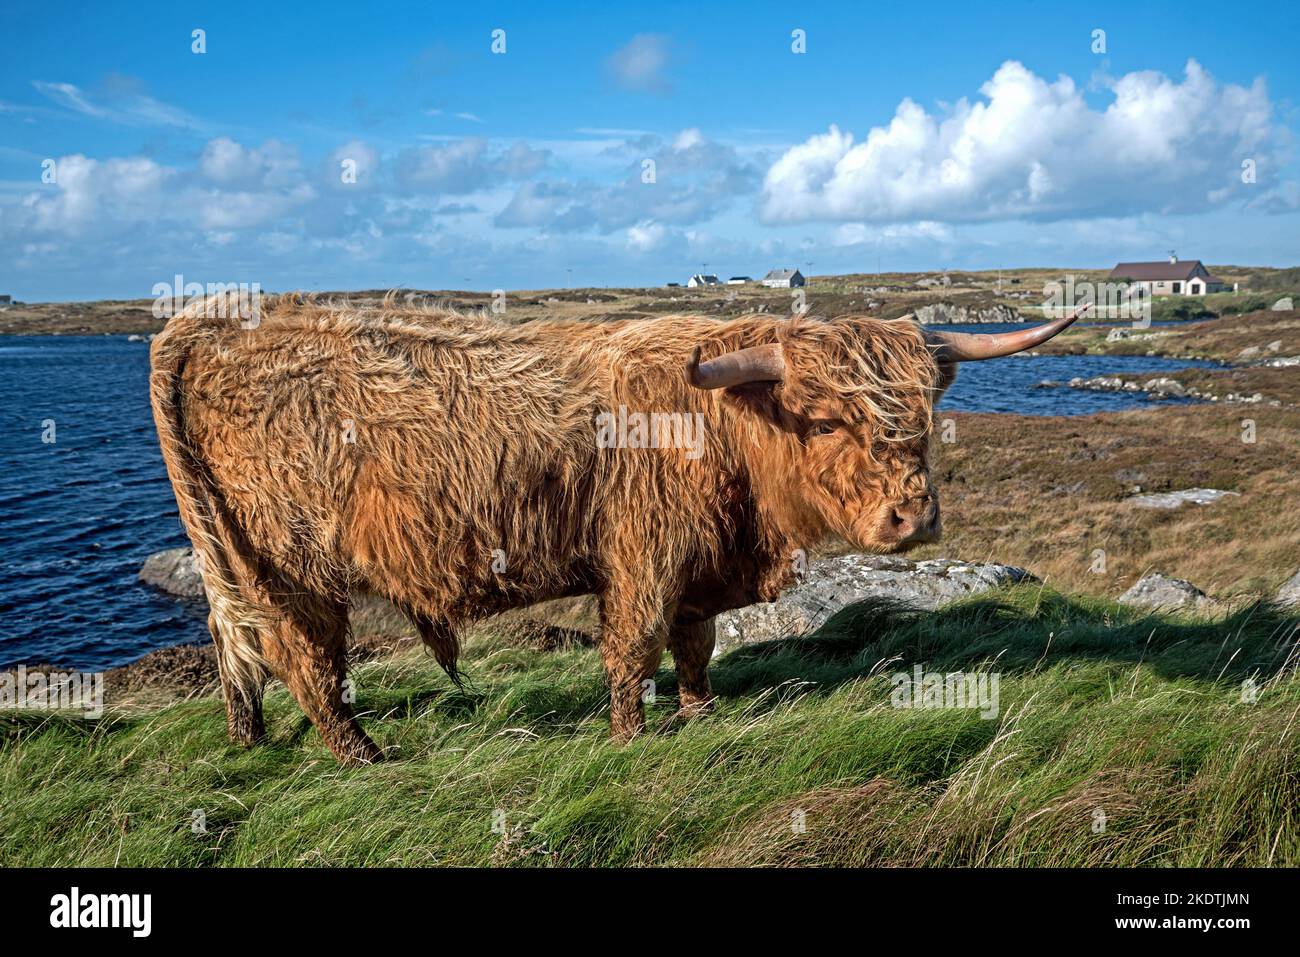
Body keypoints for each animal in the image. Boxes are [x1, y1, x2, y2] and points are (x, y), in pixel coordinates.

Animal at [150, 293, 1084, 764]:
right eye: (823, 421)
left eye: (924, 416)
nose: (913, 516)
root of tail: (201, 321)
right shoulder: (643, 553)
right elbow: (633, 645)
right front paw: (631, 737)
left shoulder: (704, 560)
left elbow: (696, 642)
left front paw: (703, 712)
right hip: (292, 562)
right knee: (305, 657)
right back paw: (363, 755)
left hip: (230, 558)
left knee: (233, 644)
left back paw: (248, 738)